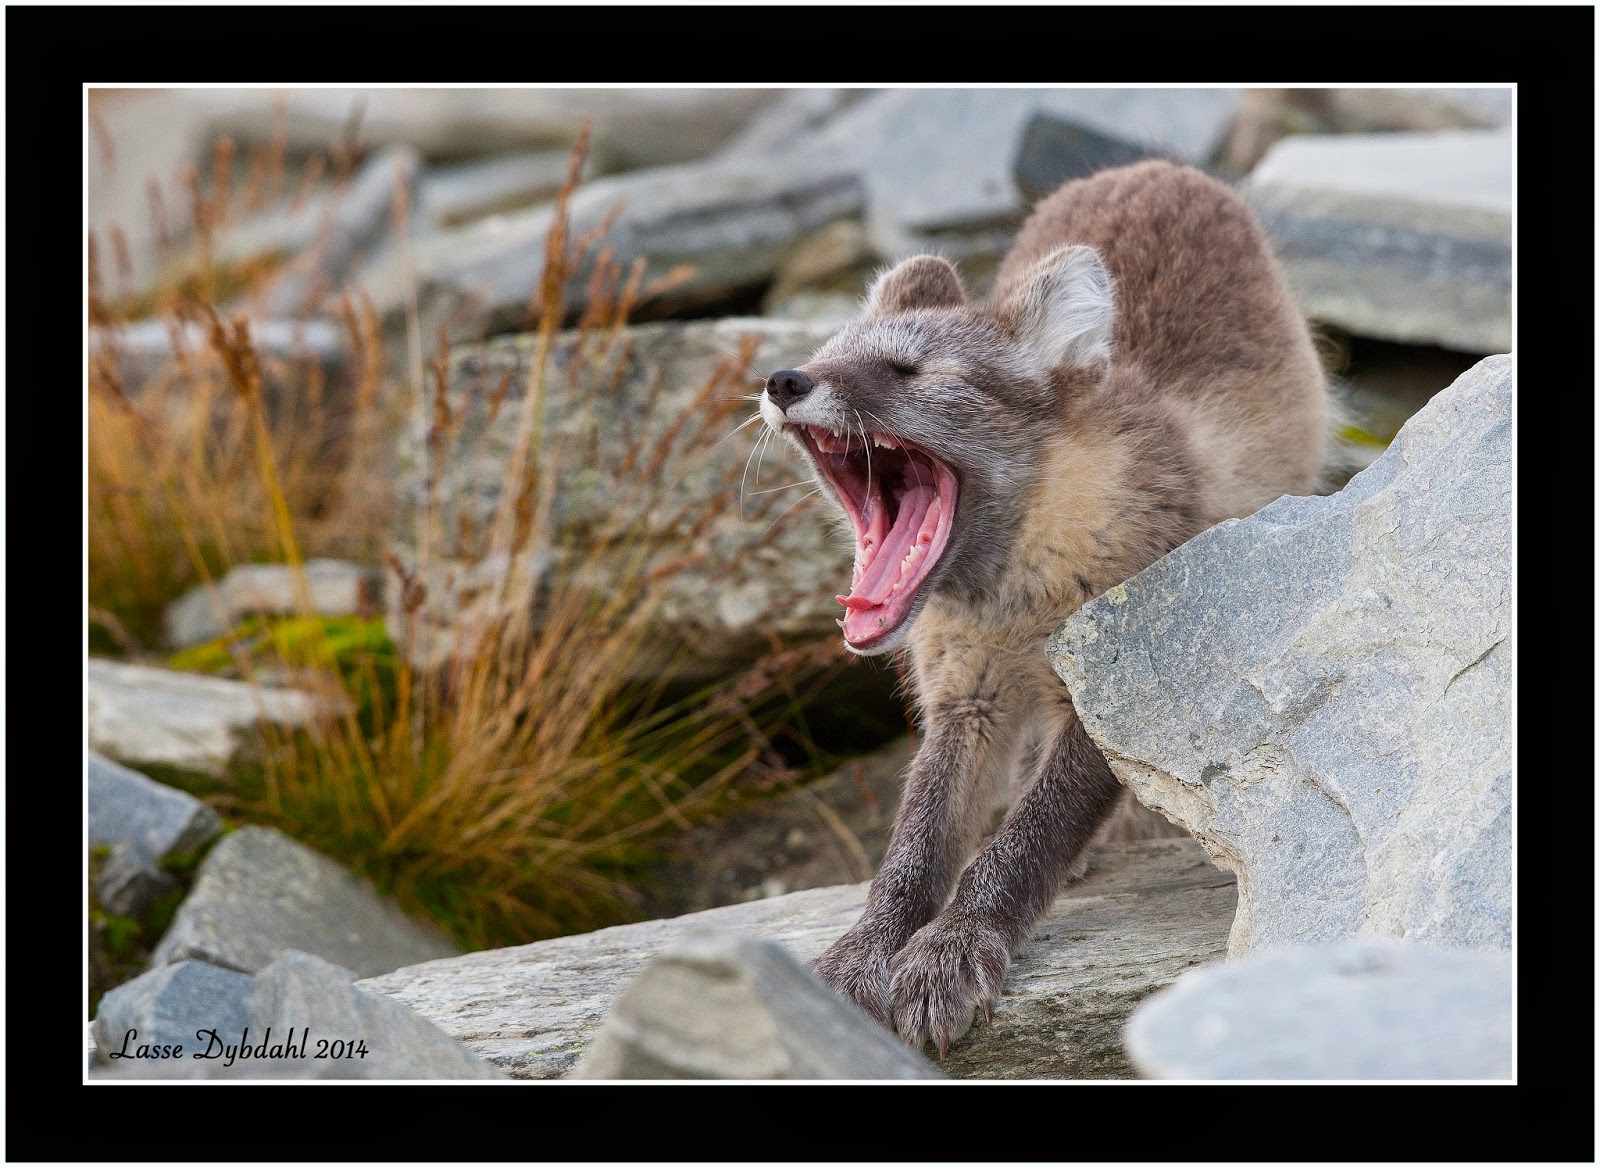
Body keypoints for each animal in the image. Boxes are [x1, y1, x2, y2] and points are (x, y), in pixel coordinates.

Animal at [756, 160, 1332, 1054]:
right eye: (826, 356)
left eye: (910, 372)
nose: (785, 381)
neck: (1013, 603)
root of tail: (1154, 166)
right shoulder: (964, 703)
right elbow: (914, 851)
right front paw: (862, 954)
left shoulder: (1112, 701)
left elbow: (1024, 843)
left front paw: (955, 946)